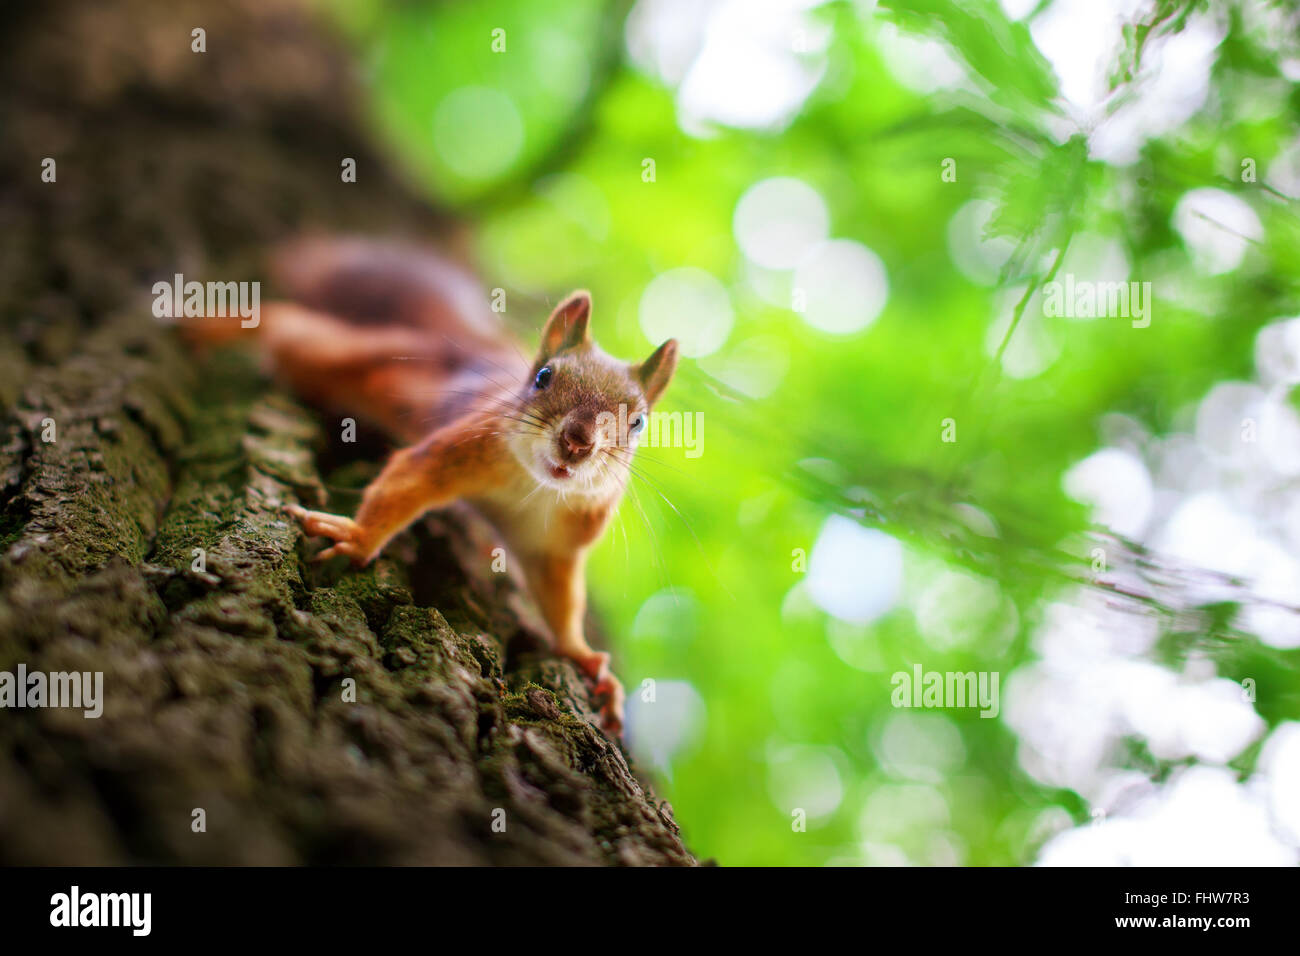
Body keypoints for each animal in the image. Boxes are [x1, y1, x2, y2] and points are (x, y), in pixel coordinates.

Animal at [185, 237, 678, 734]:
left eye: (638, 423)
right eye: (544, 378)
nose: (576, 443)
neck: (533, 486)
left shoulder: (556, 542)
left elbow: (561, 600)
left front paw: (584, 658)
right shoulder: (457, 449)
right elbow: (405, 482)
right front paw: (358, 538)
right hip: (346, 358)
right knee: (289, 329)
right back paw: (204, 330)